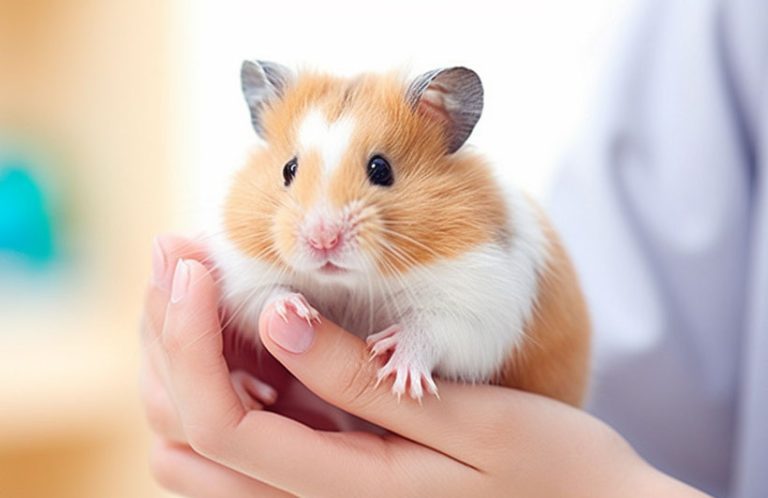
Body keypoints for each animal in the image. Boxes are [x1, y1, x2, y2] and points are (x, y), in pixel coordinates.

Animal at [211, 60, 590, 405]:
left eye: (381, 169)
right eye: (289, 169)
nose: (323, 240)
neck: (353, 286)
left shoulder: (482, 303)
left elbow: (433, 328)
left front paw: (402, 376)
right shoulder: (243, 276)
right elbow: (263, 298)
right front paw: (294, 311)